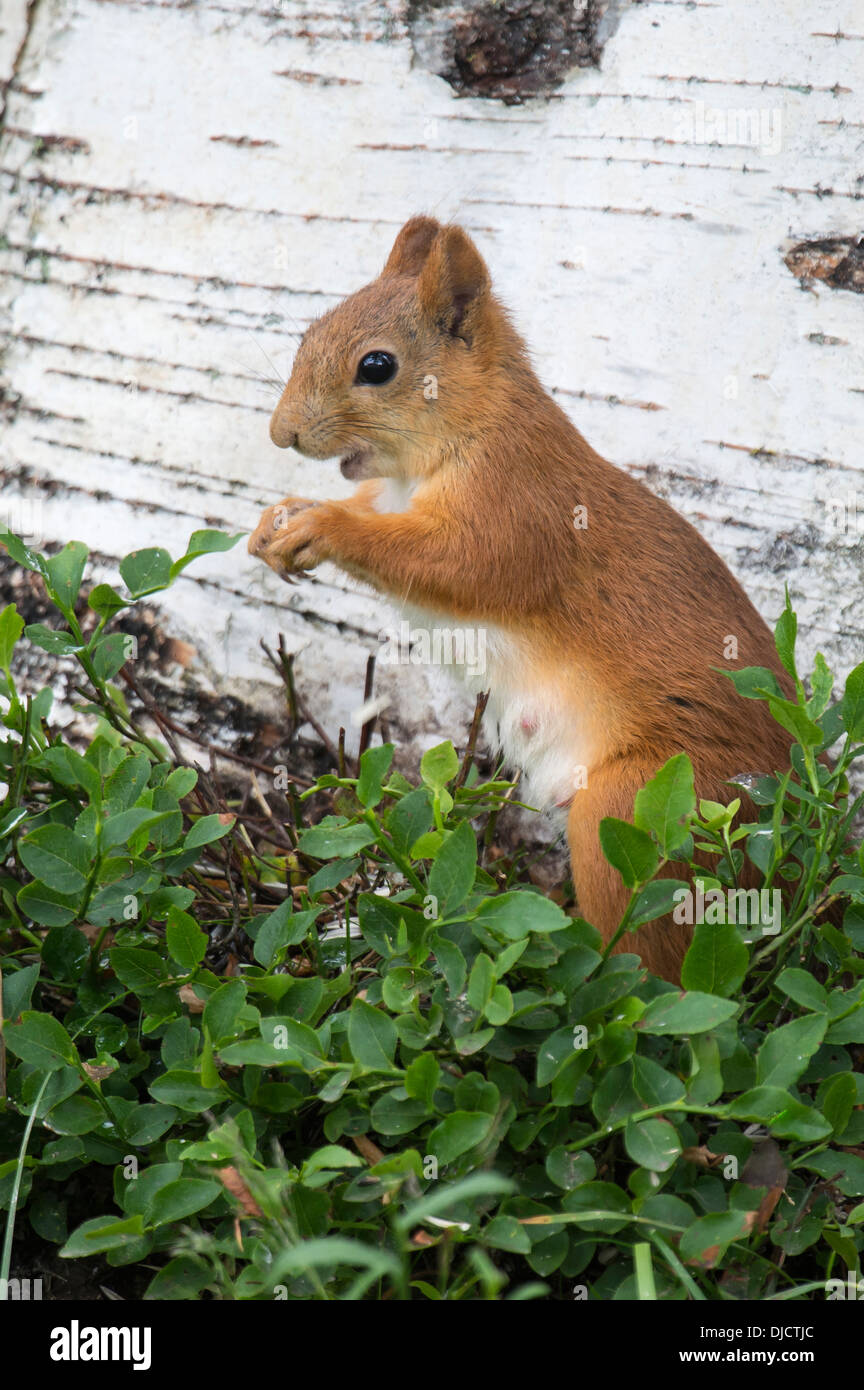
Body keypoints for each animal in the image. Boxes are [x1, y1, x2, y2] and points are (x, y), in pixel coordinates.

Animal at [248, 214, 793, 982]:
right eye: (309, 332)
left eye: (377, 366)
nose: (281, 434)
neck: (465, 428)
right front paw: (276, 522)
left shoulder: (516, 509)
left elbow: (455, 563)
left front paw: (320, 527)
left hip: (639, 808)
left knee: (652, 965)